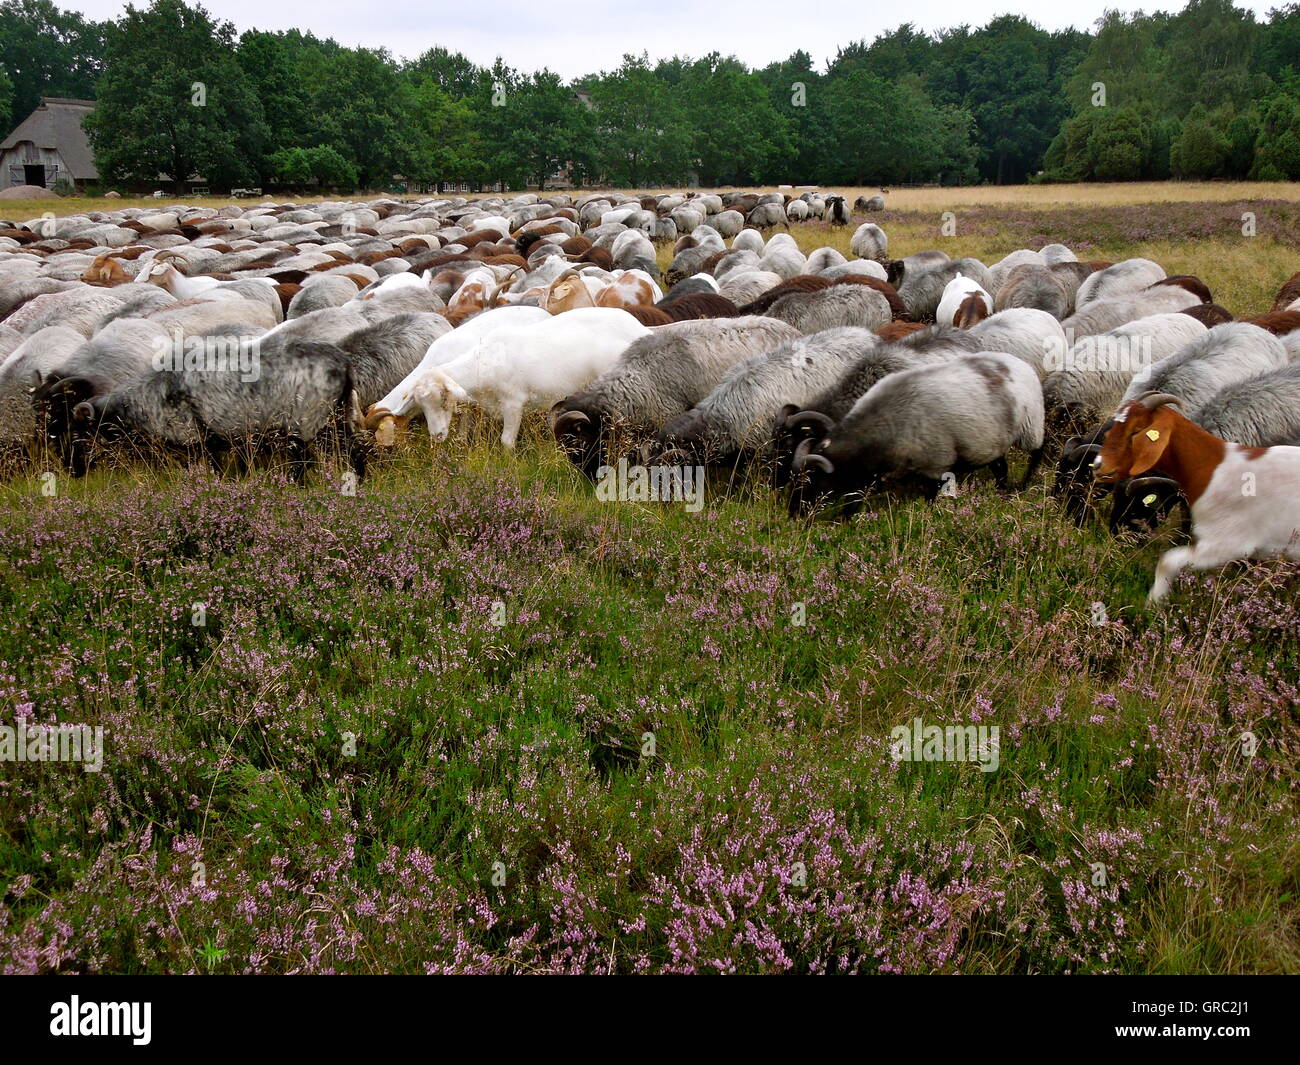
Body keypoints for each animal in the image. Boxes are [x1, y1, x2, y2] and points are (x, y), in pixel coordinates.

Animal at [411, 307, 650, 449]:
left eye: (443, 398)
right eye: (422, 406)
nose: (437, 436)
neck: (488, 359)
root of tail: (638, 327)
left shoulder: (513, 402)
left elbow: (507, 441)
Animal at [788, 353, 1045, 513]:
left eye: (812, 480)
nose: (793, 513)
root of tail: (1022, 364)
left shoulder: (936, 463)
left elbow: (931, 494)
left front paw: (928, 514)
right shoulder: (869, 469)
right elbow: (857, 494)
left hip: (1031, 426)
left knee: (1037, 453)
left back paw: (1026, 484)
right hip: (994, 440)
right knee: (1000, 466)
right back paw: (1002, 490)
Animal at [1094, 392, 1300, 603]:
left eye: (1136, 431)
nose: (1098, 465)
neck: (1210, 466)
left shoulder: (1227, 543)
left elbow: (1167, 561)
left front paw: (1155, 602)